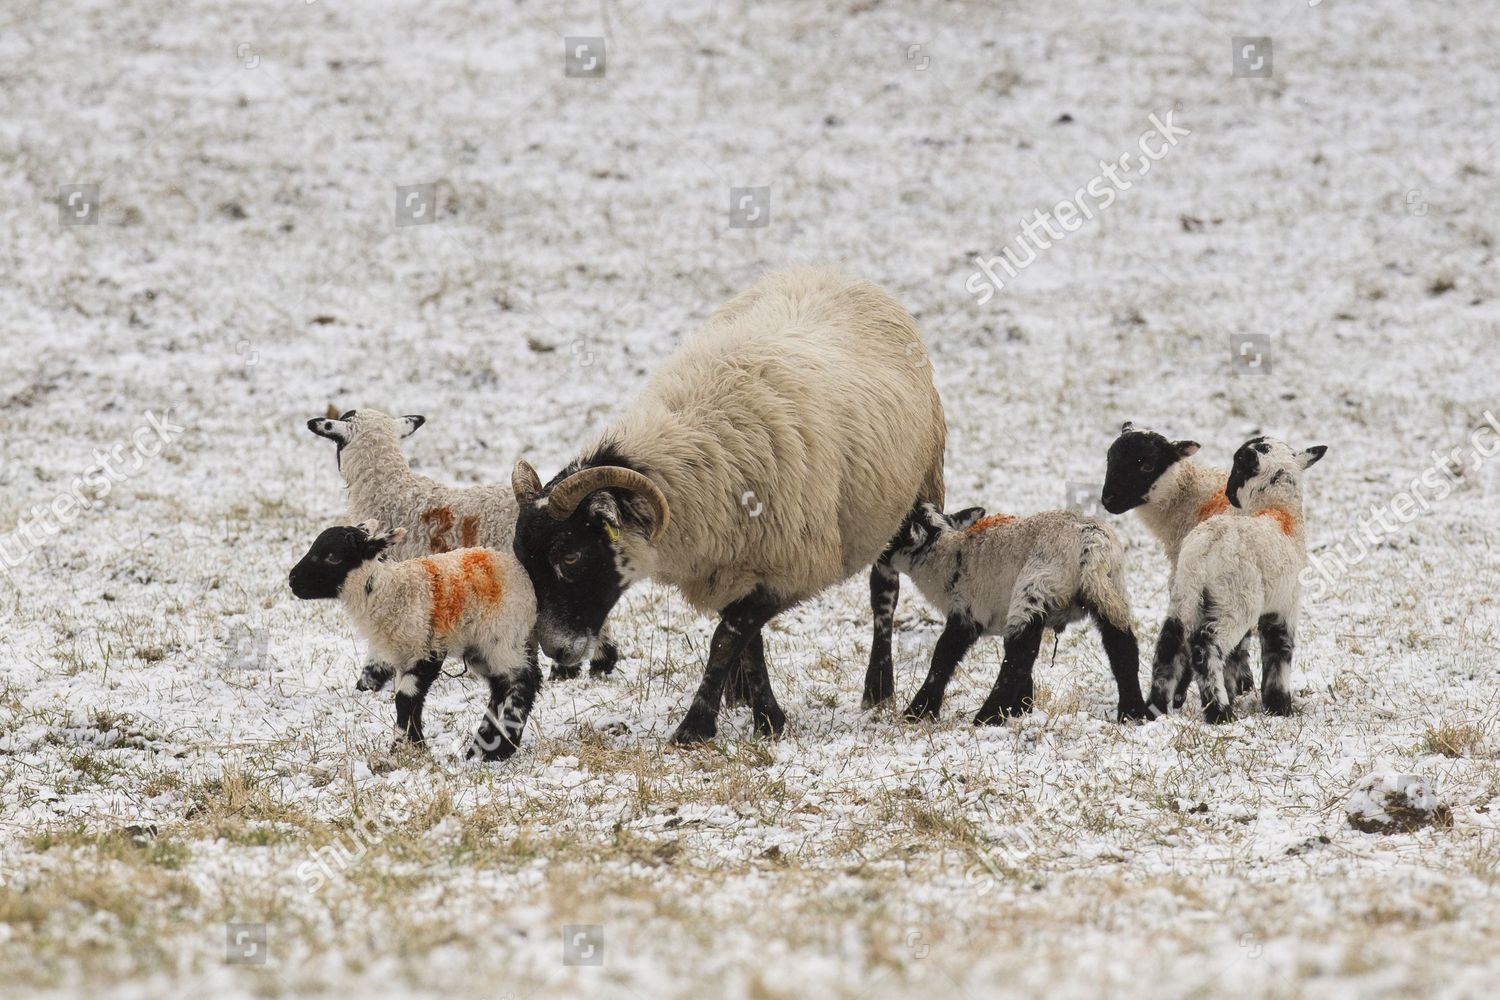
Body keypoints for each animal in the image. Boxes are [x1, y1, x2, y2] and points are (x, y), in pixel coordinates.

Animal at [288, 521, 541, 760]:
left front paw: (403, 748)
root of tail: (522, 573)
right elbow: (407, 700)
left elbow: (405, 698)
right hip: (480, 647)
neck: (390, 590)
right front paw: (412, 745)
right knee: (500, 686)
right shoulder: (403, 656)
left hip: (503, 636)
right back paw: (480, 748)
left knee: (523, 680)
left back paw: (501, 749)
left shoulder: (427, 649)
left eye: (332, 557)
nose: (292, 581)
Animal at [508, 265, 947, 744]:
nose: (555, 649)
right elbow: (747, 642)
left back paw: (878, 689)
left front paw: (696, 727)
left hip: (913, 491)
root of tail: (830, 270)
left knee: (883, 591)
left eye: (570, 556)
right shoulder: (729, 560)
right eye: (522, 559)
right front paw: (766, 717)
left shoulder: (793, 568)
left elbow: (726, 637)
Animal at [885, 502, 1150, 724]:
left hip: (1035, 587)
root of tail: (1091, 541)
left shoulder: (967, 612)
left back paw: (987, 718)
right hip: (1111, 589)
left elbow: (943, 658)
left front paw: (917, 712)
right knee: (1122, 648)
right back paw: (1133, 712)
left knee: (1019, 656)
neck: (946, 556)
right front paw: (1022, 709)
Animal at [1147, 437, 1327, 723]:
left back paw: (1156, 708)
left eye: (1239, 468)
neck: (1279, 511)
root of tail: (1205, 548)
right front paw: (1280, 707)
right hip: (1235, 603)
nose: (1229, 493)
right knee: (1204, 646)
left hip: (1184, 595)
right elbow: (1279, 650)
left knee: (1169, 644)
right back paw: (1220, 711)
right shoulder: (1285, 605)